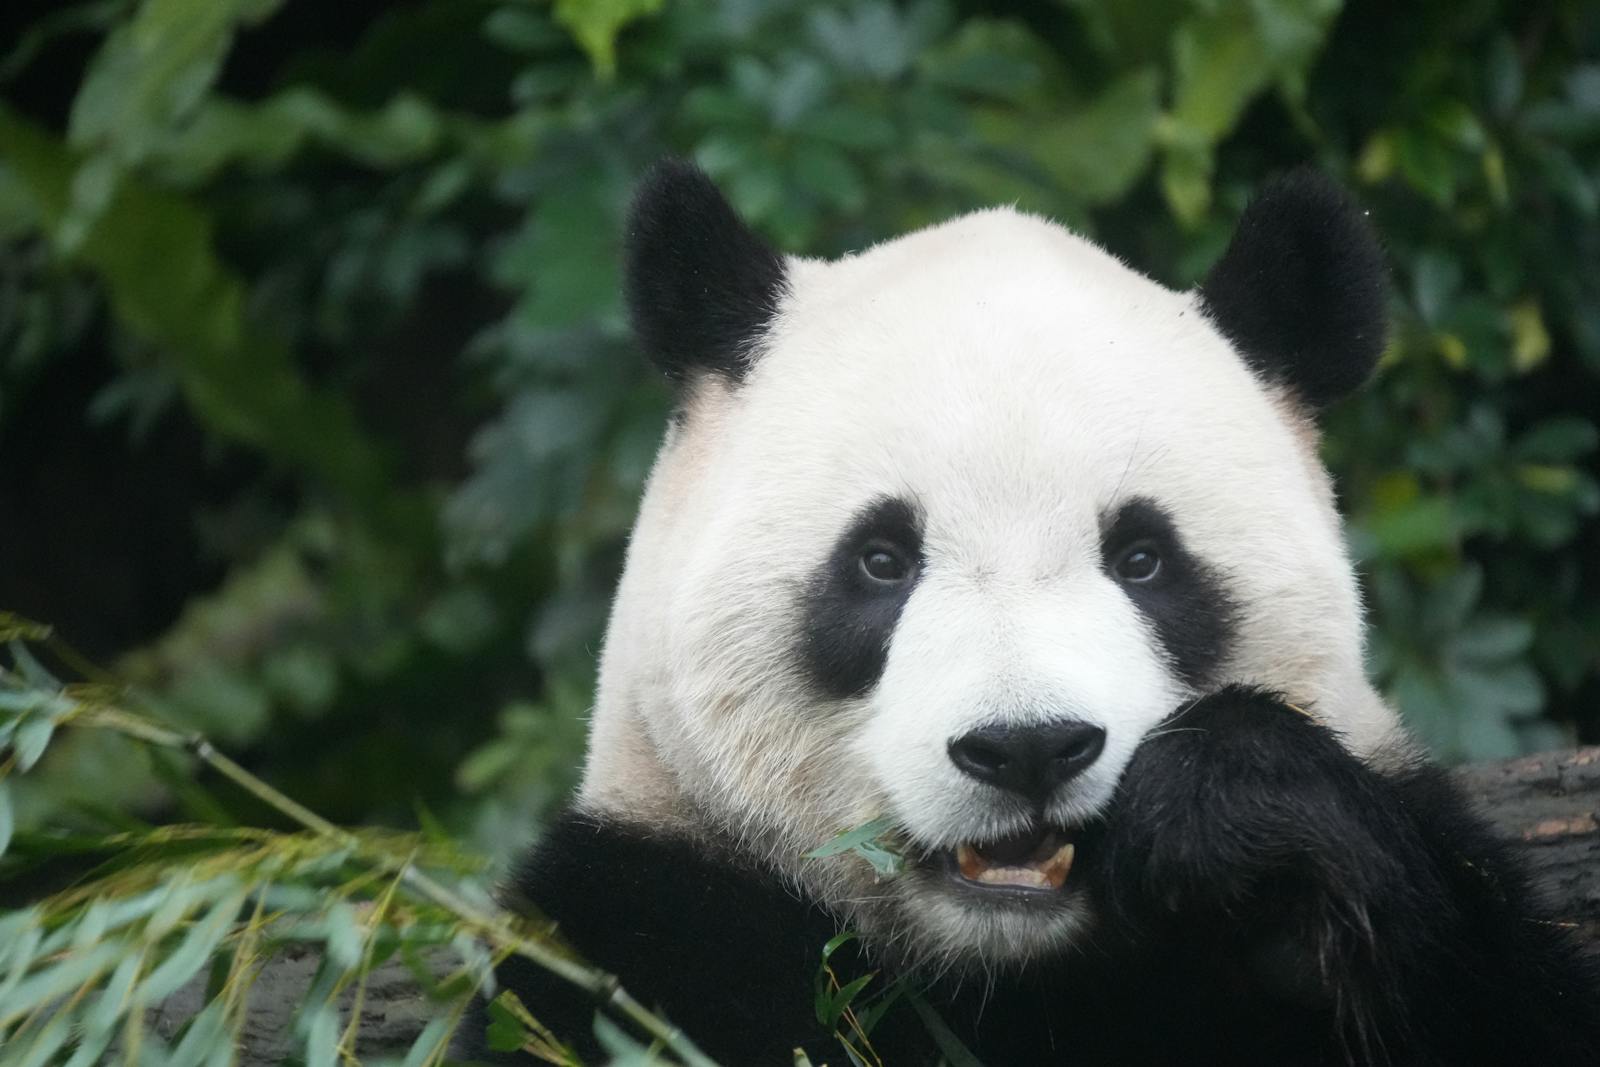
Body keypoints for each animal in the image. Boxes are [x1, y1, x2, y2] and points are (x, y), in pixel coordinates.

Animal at [466, 162, 1600, 1065]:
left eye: (1142, 558)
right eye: (882, 560)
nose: (1026, 747)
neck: (1015, 966)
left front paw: (1234, 807)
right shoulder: (648, 918)